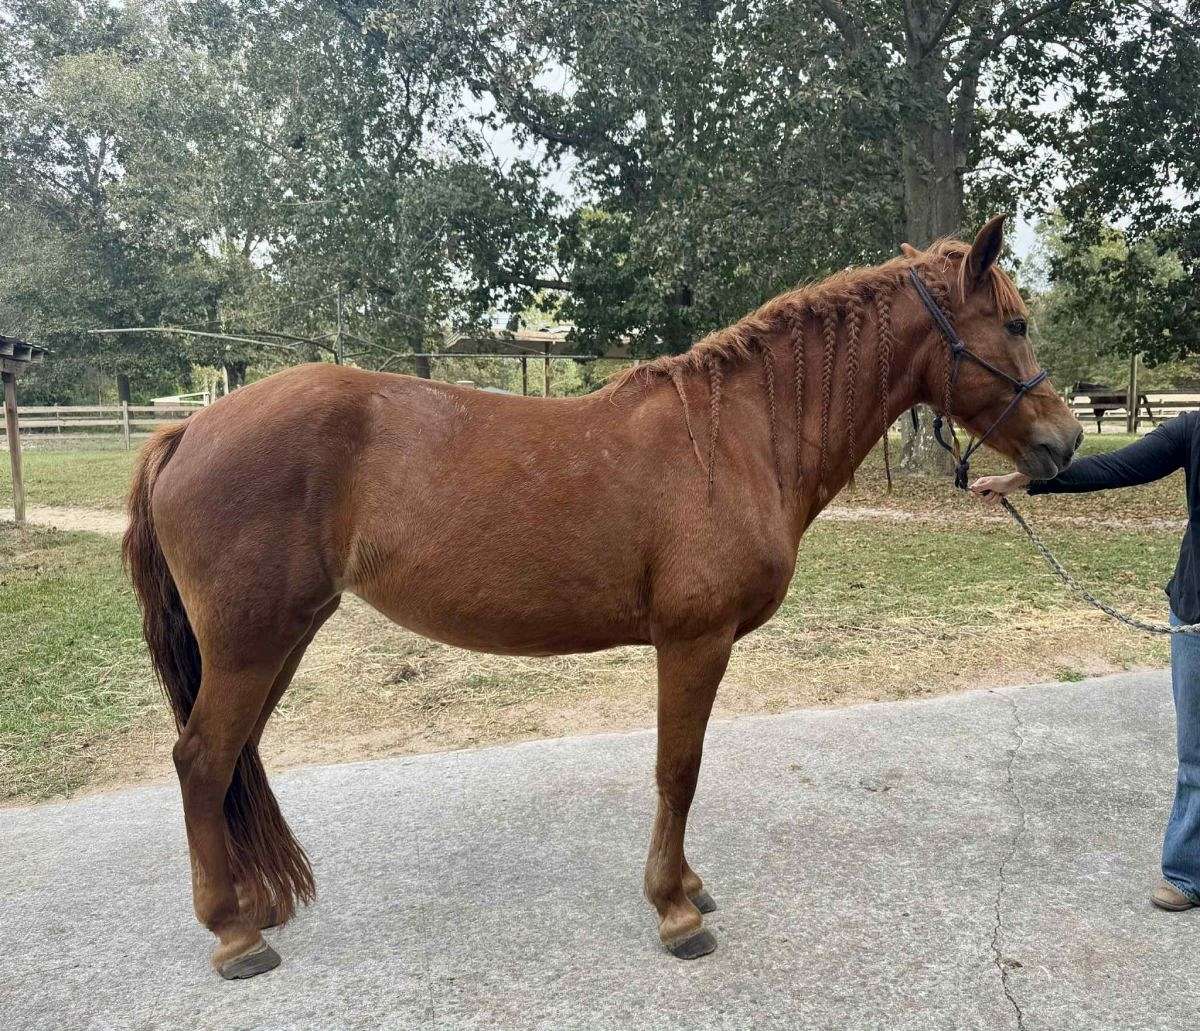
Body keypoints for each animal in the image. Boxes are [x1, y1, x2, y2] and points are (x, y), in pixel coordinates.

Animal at [123, 214, 1083, 979]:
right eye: (1013, 321)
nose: (1066, 443)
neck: (736, 438)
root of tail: (188, 427)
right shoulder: (695, 640)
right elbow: (678, 769)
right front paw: (676, 909)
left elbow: (680, 770)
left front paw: (687, 885)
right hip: (254, 641)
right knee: (202, 759)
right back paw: (234, 932)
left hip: (278, 640)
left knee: (233, 757)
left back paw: (253, 906)